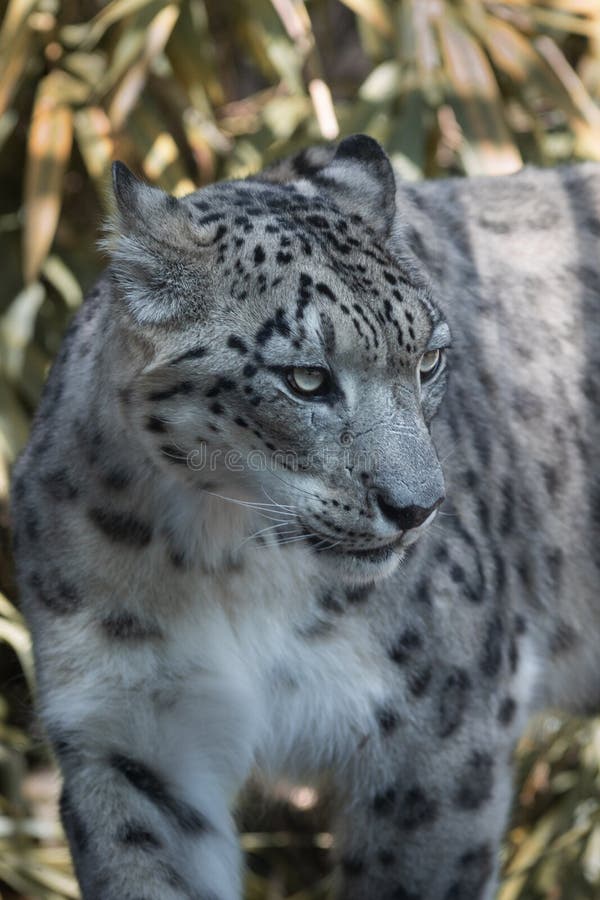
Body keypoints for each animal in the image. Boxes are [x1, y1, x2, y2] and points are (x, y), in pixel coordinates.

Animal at [9, 133, 600, 900]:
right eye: (308, 378)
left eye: (429, 360)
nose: (417, 507)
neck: (217, 557)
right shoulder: (129, 733)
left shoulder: (438, 722)